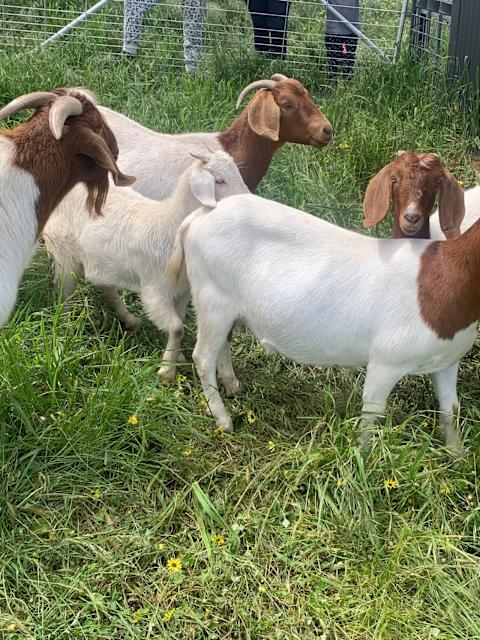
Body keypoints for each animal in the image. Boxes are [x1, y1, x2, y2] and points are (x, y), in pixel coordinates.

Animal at [43, 150, 249, 383]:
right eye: (219, 180)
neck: (169, 224)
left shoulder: (182, 291)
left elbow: (179, 322)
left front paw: (176, 357)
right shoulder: (155, 291)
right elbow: (177, 328)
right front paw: (166, 372)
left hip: (98, 258)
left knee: (103, 284)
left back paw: (128, 319)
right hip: (64, 252)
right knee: (64, 293)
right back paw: (64, 329)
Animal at [166, 193, 480, 453]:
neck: (442, 276)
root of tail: (199, 217)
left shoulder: (447, 360)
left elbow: (451, 409)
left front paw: (456, 455)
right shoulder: (386, 361)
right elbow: (373, 411)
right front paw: (363, 456)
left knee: (222, 344)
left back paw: (233, 385)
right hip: (212, 295)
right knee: (203, 356)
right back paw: (223, 420)